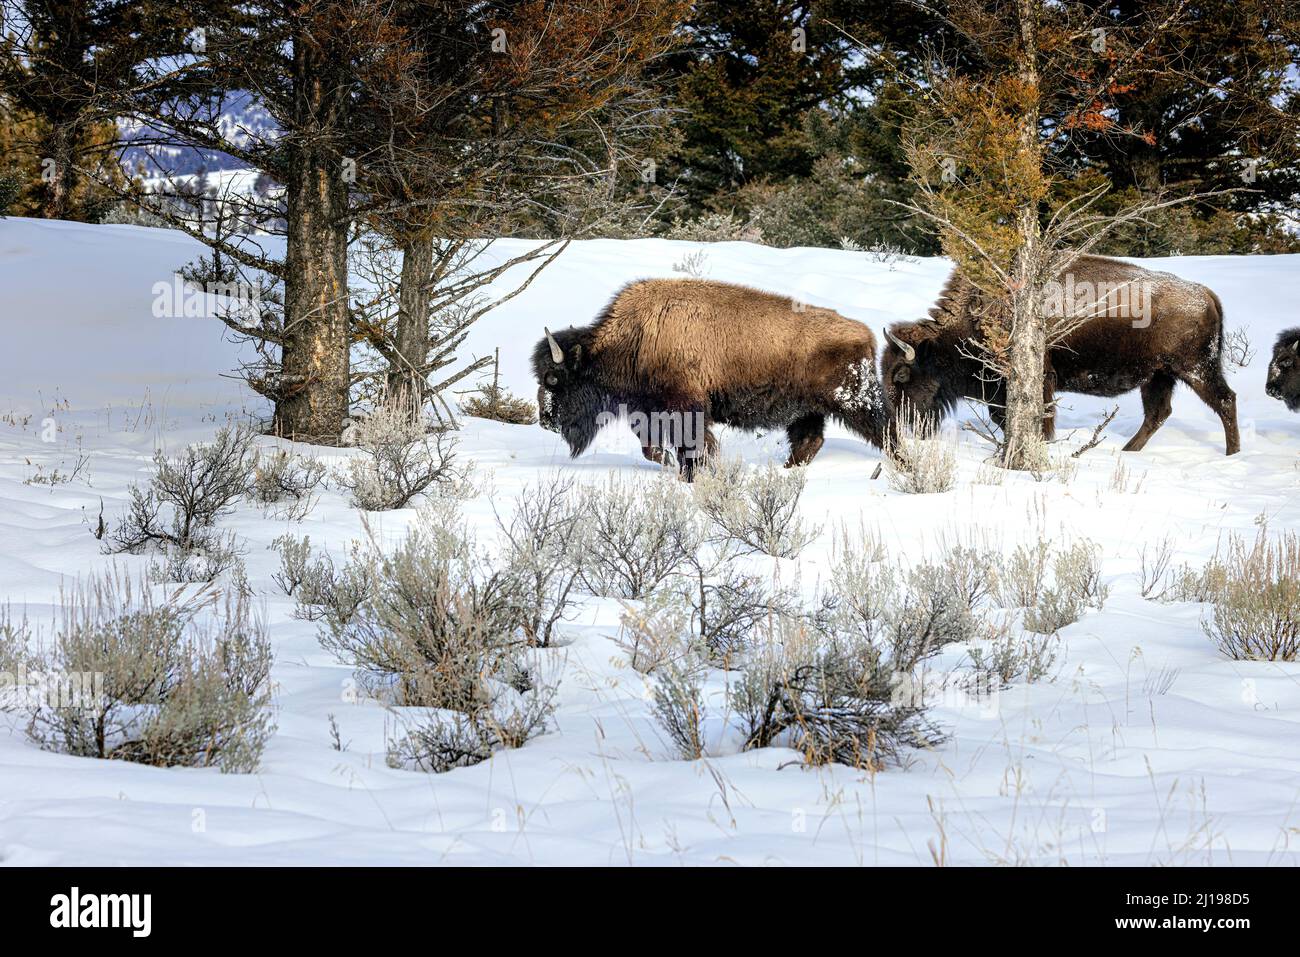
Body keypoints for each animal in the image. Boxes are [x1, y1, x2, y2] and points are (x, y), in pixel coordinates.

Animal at [532, 278, 887, 479]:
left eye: (553, 379)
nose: (545, 420)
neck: (637, 337)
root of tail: (866, 334)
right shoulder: (649, 410)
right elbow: (650, 446)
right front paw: (670, 464)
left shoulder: (686, 407)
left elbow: (693, 445)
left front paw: (692, 473)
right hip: (806, 410)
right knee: (809, 441)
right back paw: (785, 472)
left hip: (855, 403)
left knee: (887, 431)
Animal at [881, 255, 1240, 456]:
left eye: (901, 375)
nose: (895, 425)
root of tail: (1205, 293)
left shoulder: (1037, 379)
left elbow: (1037, 418)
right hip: (1158, 376)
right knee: (1158, 413)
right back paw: (1128, 452)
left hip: (1194, 368)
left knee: (1224, 401)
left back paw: (1231, 454)